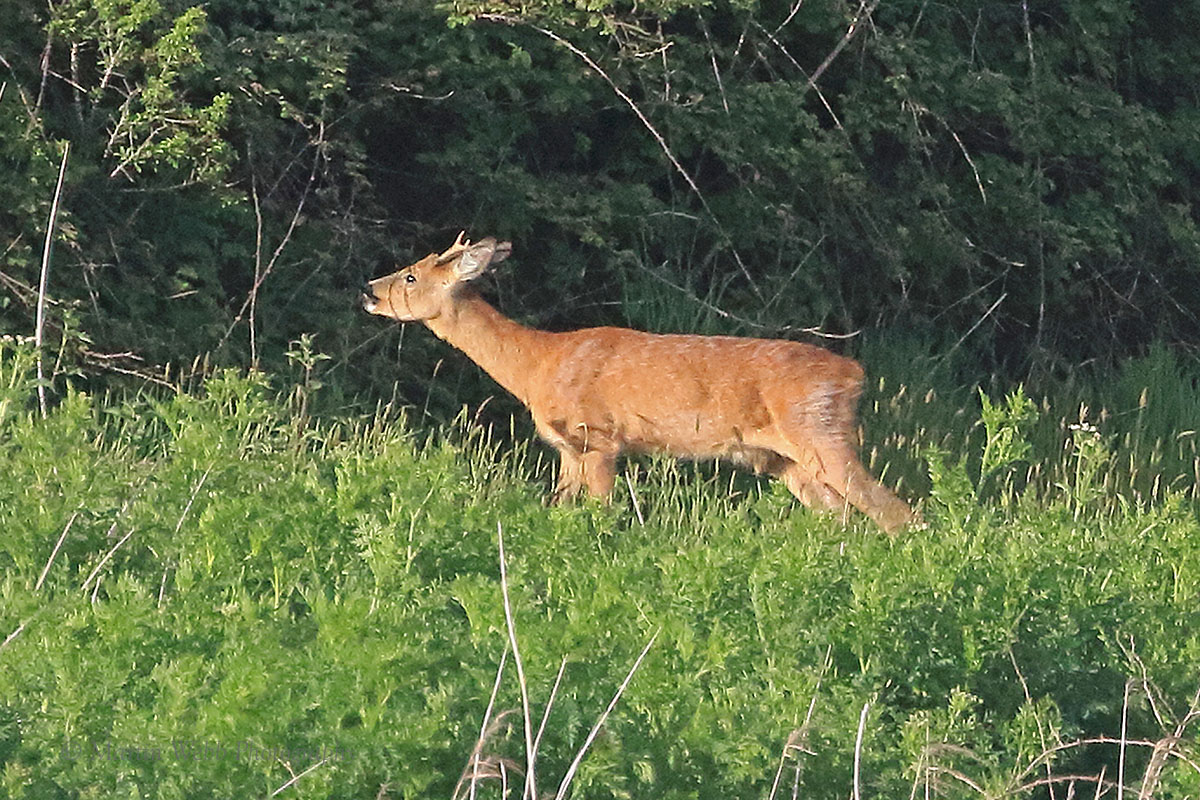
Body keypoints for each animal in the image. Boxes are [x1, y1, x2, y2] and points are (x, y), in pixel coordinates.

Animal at [362, 234, 917, 534]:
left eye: (410, 276)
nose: (368, 291)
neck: (539, 363)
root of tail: (854, 375)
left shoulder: (599, 437)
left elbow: (603, 511)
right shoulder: (569, 449)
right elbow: (559, 508)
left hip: (819, 430)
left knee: (894, 511)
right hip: (786, 460)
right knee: (843, 516)